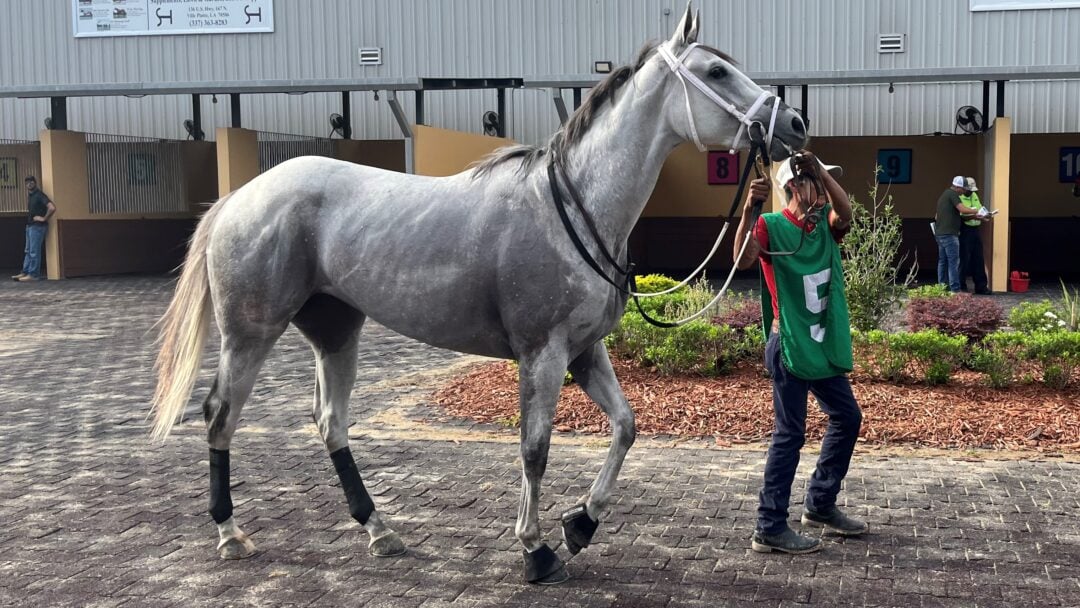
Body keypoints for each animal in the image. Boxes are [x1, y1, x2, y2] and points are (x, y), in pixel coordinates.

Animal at [151, 3, 809, 584]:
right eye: (716, 71)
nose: (795, 126)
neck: (572, 205)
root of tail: (239, 197)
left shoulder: (585, 352)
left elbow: (625, 427)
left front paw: (581, 523)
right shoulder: (542, 355)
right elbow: (534, 448)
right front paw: (535, 549)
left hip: (335, 331)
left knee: (330, 422)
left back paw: (379, 530)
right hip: (251, 333)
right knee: (220, 417)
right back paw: (231, 534)